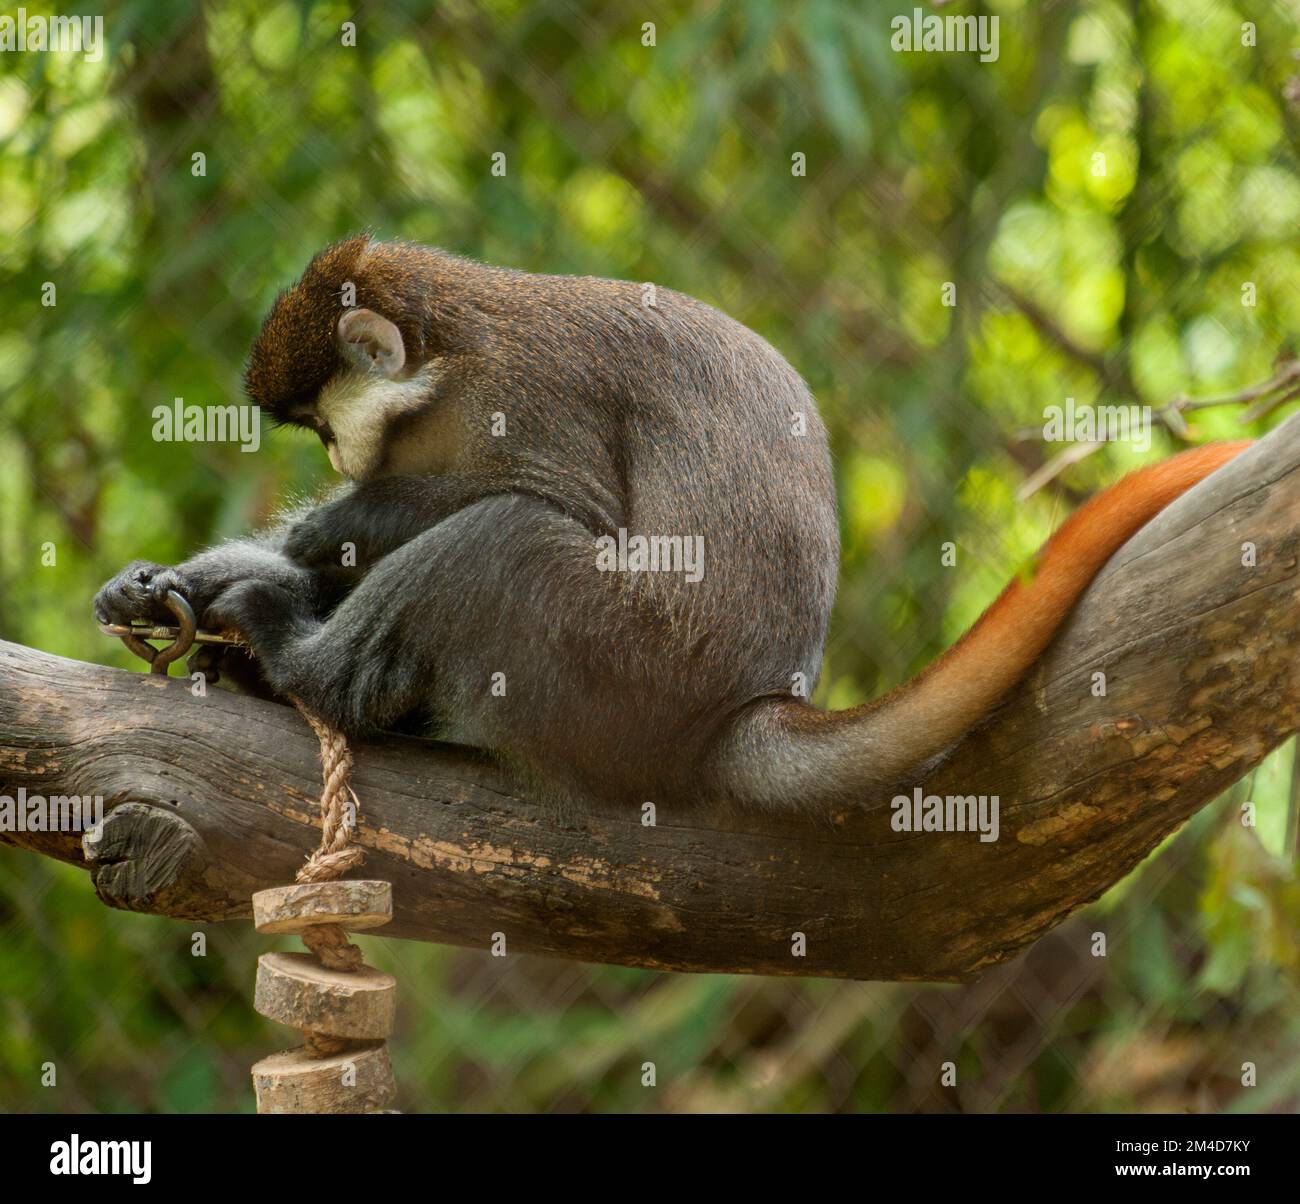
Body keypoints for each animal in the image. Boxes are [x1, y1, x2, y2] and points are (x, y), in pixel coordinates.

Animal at [93, 234, 1250, 811]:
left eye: (328, 432)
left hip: (631, 661)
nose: (339, 461)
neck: (446, 366)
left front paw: (288, 552)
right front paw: (174, 584)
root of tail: (753, 697)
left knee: (504, 542)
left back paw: (295, 658)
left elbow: (563, 504)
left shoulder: (525, 391)